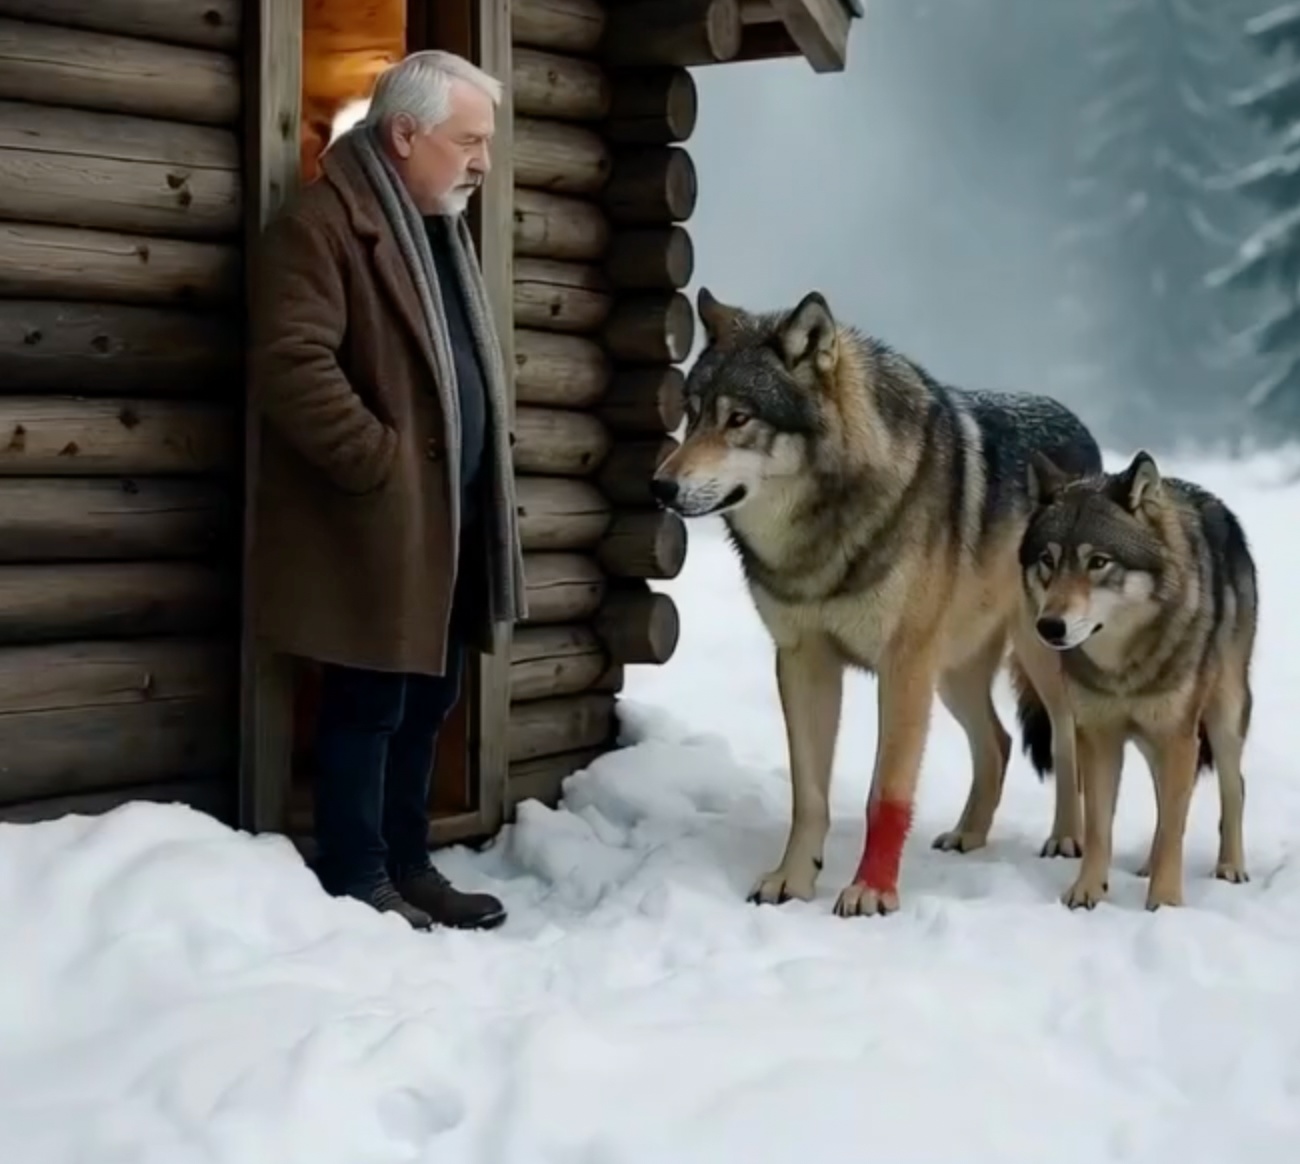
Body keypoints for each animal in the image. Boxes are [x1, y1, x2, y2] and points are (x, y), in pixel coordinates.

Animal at [650, 287, 1103, 917]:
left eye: (739, 419)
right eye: (691, 415)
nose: (660, 487)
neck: (822, 539)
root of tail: (1078, 425)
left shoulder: (903, 667)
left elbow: (885, 793)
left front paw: (872, 890)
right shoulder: (802, 661)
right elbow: (809, 795)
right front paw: (791, 879)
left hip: (1037, 660)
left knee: (1063, 743)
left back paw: (1065, 839)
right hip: (953, 674)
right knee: (998, 740)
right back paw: (968, 835)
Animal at [1009, 448, 1258, 911]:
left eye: (1098, 562)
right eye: (1048, 561)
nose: (1049, 627)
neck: (1122, 668)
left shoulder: (1179, 736)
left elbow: (1176, 826)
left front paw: (1165, 902)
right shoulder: (1098, 736)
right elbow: (1098, 827)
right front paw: (1086, 892)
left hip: (1221, 718)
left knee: (1234, 788)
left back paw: (1230, 867)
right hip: (1154, 742)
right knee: (1166, 803)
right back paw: (1148, 863)